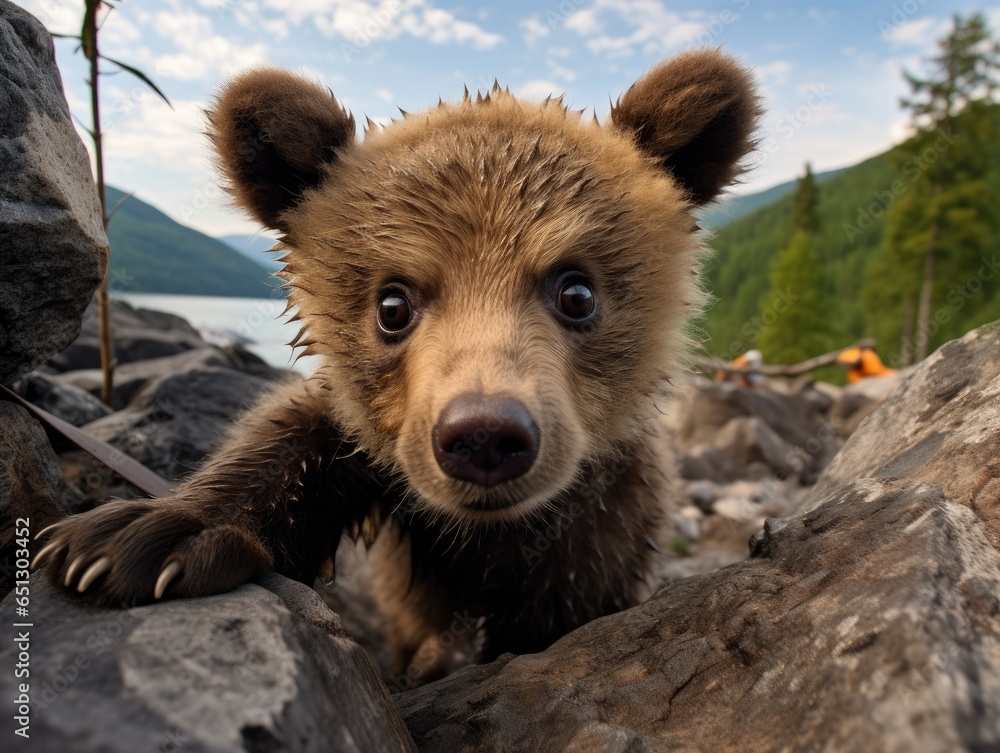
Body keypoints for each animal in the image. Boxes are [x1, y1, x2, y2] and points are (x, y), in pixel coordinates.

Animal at [34, 50, 759, 681]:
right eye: (393, 302)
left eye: (576, 291)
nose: (485, 434)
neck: (486, 535)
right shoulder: (374, 453)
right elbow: (289, 437)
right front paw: (139, 537)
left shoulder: (602, 521)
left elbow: (563, 607)